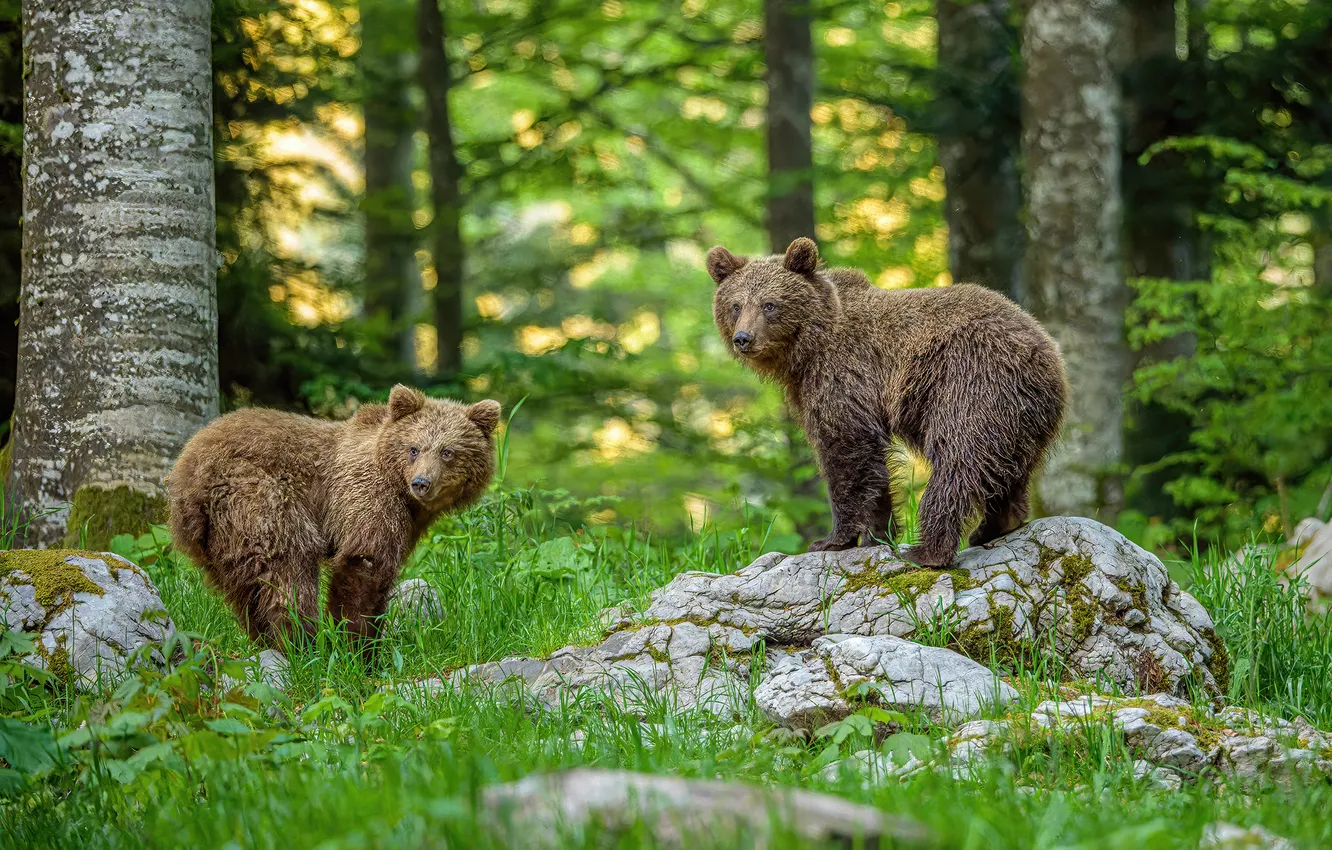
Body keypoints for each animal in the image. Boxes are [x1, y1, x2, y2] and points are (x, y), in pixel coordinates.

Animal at [168, 385, 501, 648]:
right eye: (414, 448)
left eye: (448, 451)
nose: (421, 482)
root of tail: (188, 470)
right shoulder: (365, 496)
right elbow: (364, 564)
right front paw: (358, 646)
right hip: (259, 495)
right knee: (288, 571)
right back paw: (302, 643)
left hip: (219, 535)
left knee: (242, 588)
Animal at [708, 236, 1067, 566]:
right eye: (736, 305)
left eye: (770, 304)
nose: (743, 338)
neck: (807, 350)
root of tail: (1045, 351)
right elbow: (873, 467)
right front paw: (877, 535)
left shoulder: (843, 376)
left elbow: (845, 454)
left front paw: (831, 540)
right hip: (1020, 416)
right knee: (1008, 469)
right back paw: (995, 525)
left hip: (969, 384)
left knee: (957, 462)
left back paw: (928, 551)